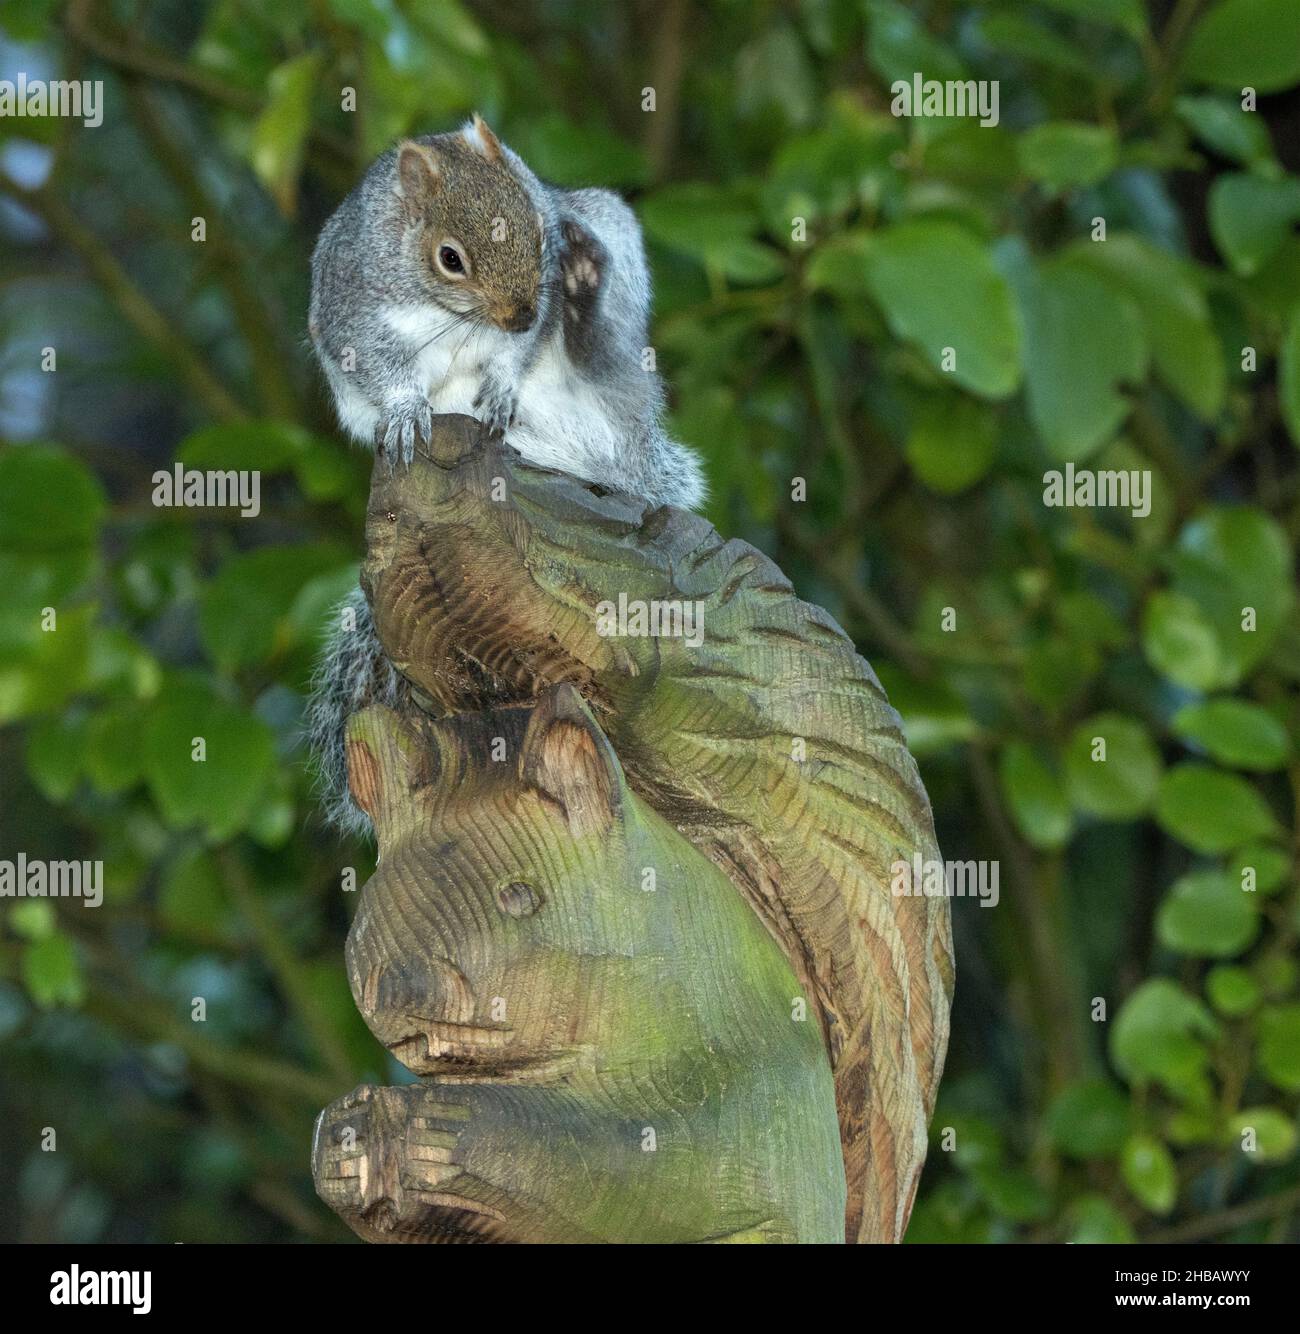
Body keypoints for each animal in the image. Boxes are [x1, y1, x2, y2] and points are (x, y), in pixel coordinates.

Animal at [307, 116, 705, 836]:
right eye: (450, 258)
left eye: (539, 234)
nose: (521, 312)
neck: (446, 313)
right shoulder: (357, 319)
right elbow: (384, 373)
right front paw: (404, 411)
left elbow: (514, 358)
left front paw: (503, 381)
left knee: (602, 353)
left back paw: (582, 294)